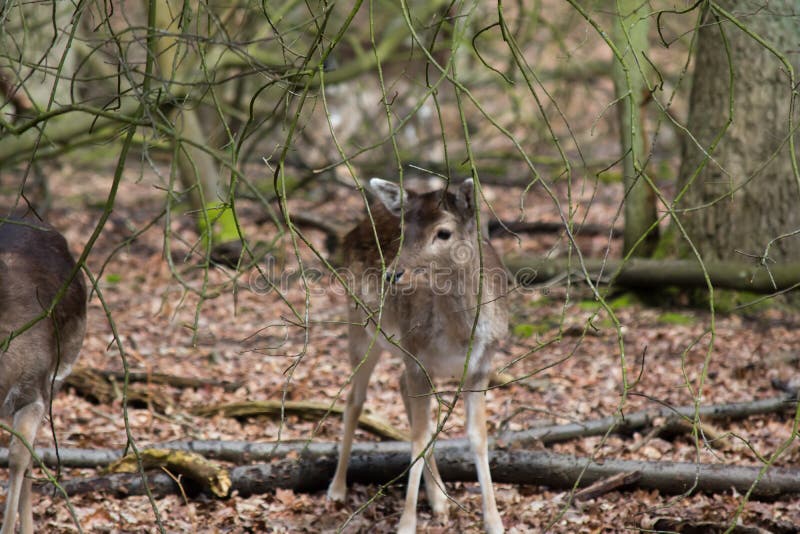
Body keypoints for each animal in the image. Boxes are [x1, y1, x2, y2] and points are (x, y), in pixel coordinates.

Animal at [327, 178, 509, 534]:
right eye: (404, 230)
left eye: (444, 232)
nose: (393, 274)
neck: (460, 337)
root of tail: (352, 230)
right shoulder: (417, 355)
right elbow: (418, 438)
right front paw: (406, 524)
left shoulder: (482, 365)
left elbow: (478, 438)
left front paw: (495, 521)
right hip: (361, 327)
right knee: (355, 399)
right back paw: (337, 488)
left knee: (398, 386)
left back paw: (439, 500)